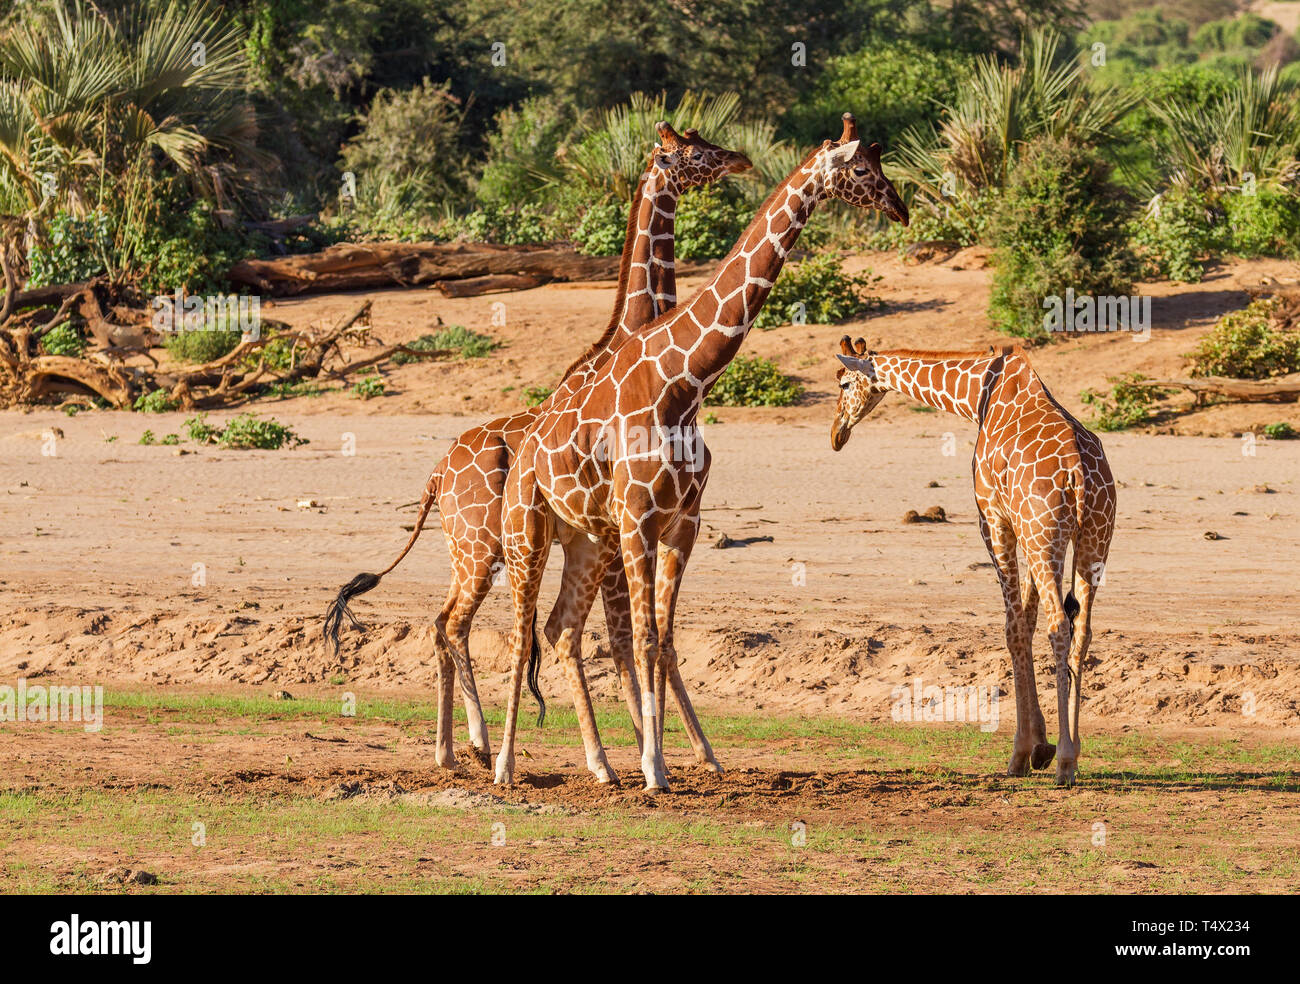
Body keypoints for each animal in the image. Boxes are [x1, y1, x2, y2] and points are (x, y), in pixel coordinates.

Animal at [323, 123, 752, 771]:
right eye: (693, 151)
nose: (741, 160)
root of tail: (435, 476)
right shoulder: (619, 531)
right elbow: (620, 637)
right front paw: (661, 751)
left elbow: (621, 637)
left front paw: (676, 750)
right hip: (482, 551)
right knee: (459, 625)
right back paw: (476, 746)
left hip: (473, 553)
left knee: (444, 622)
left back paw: (458, 748)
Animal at [493, 114, 910, 790]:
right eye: (861, 169)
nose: (901, 207)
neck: (684, 381)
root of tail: (525, 446)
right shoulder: (638, 518)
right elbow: (638, 638)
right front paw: (654, 766)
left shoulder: (682, 520)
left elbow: (663, 638)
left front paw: (678, 754)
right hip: (526, 532)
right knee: (521, 630)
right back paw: (504, 764)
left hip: (584, 539)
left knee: (560, 628)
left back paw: (600, 763)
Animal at [830, 337, 1117, 786]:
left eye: (843, 383)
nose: (836, 434)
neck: (976, 397)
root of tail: (1080, 477)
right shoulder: (1021, 527)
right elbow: (1025, 621)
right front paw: (1042, 746)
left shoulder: (993, 519)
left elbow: (1013, 628)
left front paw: (1023, 753)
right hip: (1092, 540)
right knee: (1082, 630)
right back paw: (1073, 753)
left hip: (1046, 537)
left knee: (1059, 627)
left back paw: (1067, 762)